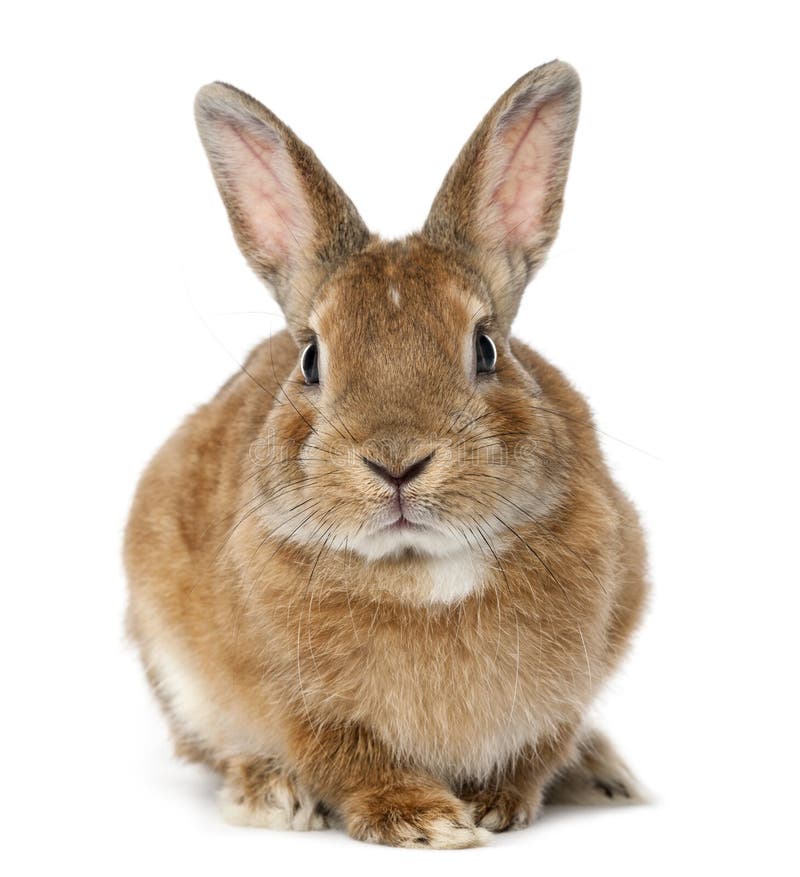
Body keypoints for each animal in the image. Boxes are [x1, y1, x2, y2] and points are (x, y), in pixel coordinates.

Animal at [124, 59, 649, 849]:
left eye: (487, 347)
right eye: (311, 359)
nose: (396, 463)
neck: (422, 572)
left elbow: (536, 750)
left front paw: (495, 804)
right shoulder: (301, 706)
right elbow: (349, 759)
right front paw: (427, 822)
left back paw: (605, 775)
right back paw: (269, 794)